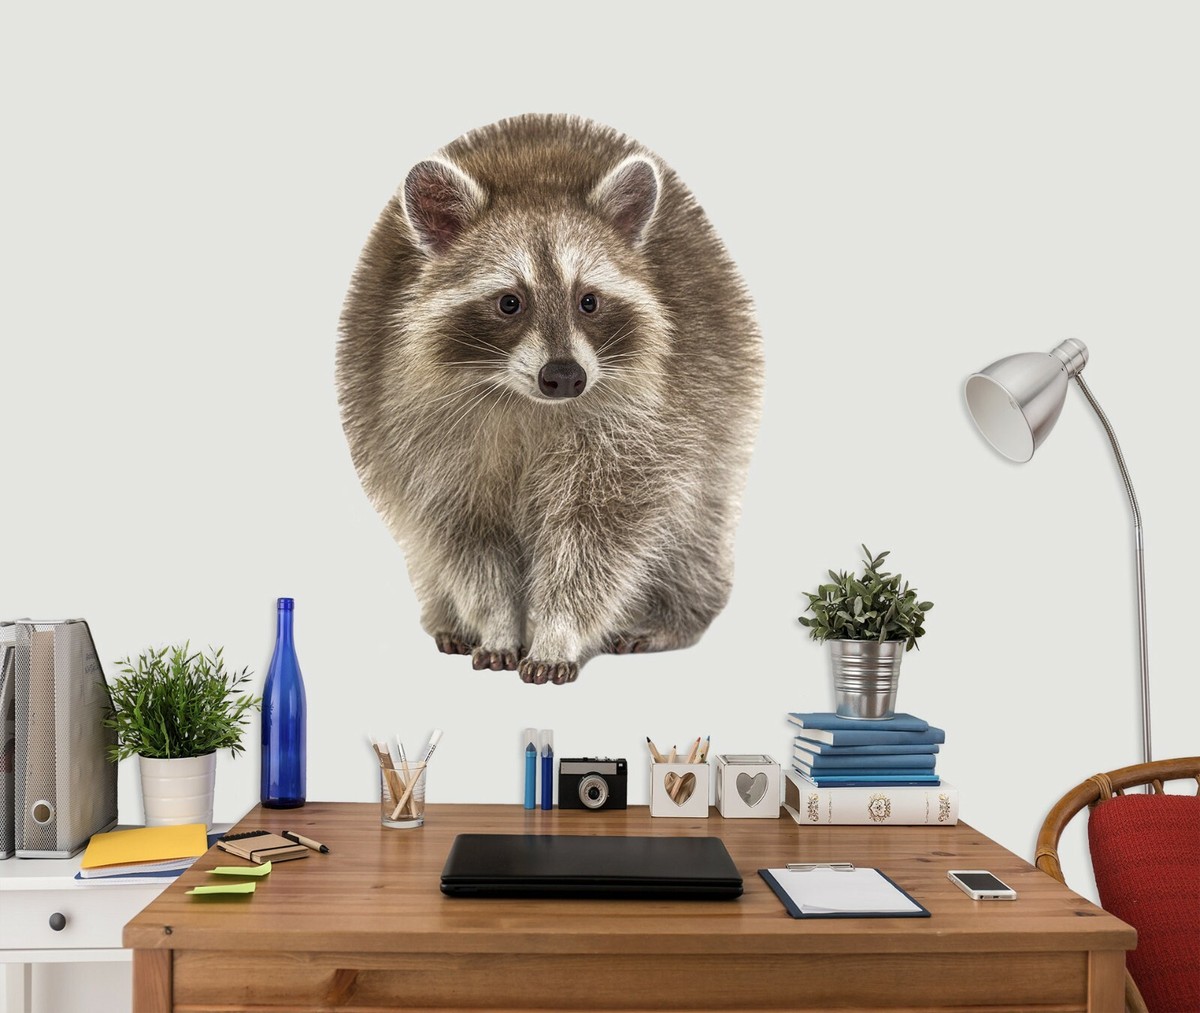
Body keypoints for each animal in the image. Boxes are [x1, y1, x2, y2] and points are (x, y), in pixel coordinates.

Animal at [337, 114, 763, 684]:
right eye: (509, 302)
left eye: (589, 301)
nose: (565, 377)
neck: (528, 402)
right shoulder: (416, 427)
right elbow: (466, 538)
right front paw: (497, 624)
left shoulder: (648, 420)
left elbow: (598, 536)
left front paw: (557, 631)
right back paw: (449, 618)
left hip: (720, 404)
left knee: (694, 524)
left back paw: (676, 613)